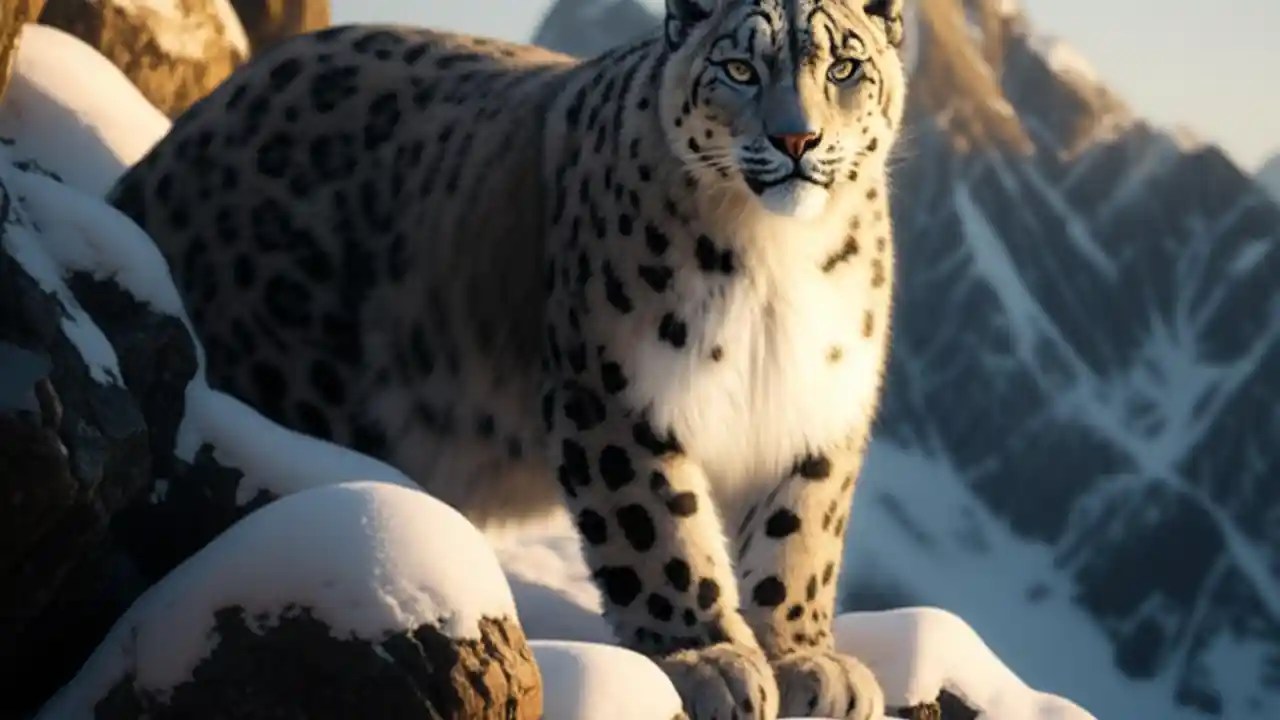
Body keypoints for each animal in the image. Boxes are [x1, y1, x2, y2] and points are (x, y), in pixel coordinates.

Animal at [108, 1, 907, 717]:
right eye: (740, 67)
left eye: (844, 67)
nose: (797, 137)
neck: (778, 266)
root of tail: (186, 133)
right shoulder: (614, 392)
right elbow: (657, 530)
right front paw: (706, 658)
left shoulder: (817, 404)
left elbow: (798, 536)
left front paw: (806, 661)